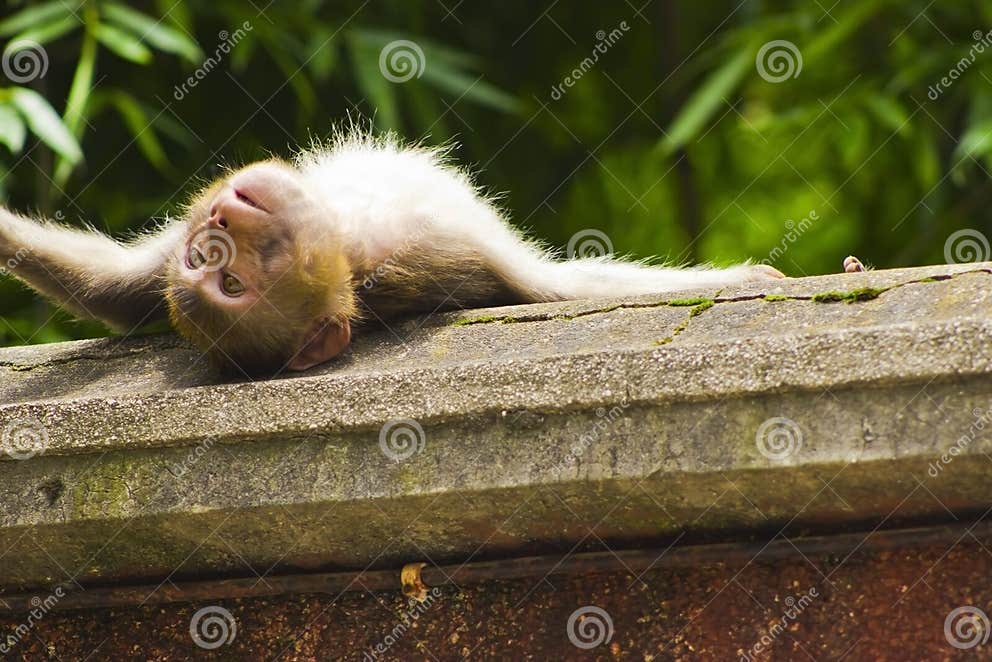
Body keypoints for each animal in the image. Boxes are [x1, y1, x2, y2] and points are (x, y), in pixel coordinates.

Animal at [0, 130, 786, 376]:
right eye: (229, 279)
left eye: (207, 257)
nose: (221, 213)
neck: (351, 245)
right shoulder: (438, 248)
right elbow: (549, 283)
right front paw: (751, 275)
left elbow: (114, 288)